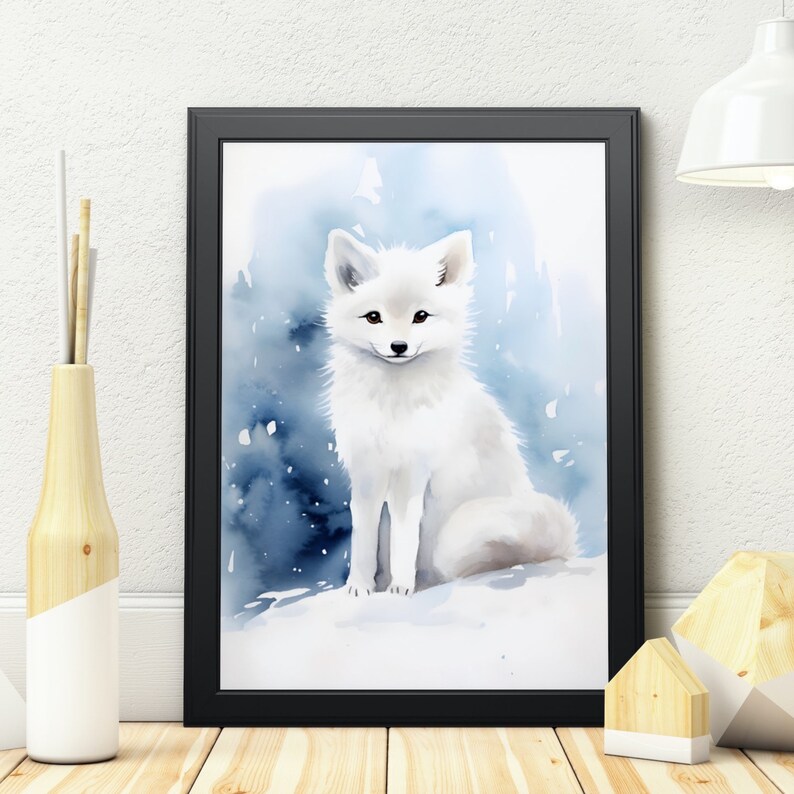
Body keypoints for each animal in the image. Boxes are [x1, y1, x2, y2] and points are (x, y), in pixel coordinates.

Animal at [322, 228, 579, 596]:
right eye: (373, 317)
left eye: (421, 316)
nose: (398, 347)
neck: (392, 402)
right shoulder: (366, 470)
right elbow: (363, 538)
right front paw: (359, 587)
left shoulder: (413, 471)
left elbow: (404, 538)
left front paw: (401, 588)